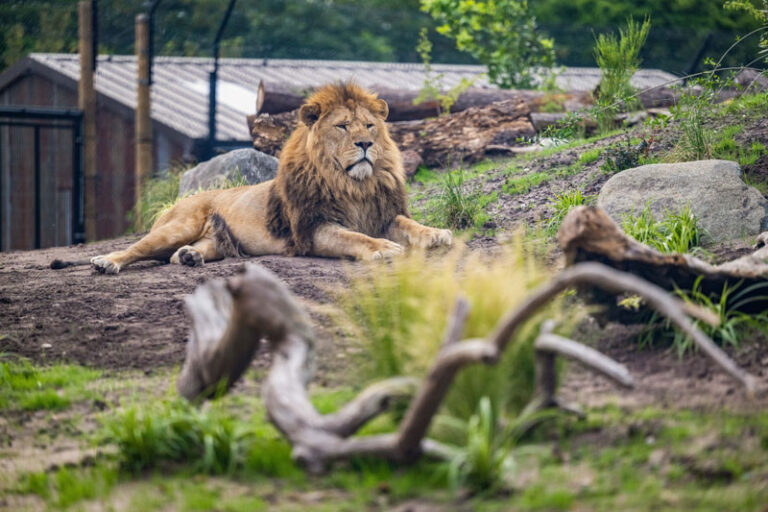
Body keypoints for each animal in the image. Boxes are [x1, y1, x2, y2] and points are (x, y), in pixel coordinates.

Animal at [55, 82, 451, 274]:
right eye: (342, 126)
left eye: (369, 125)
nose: (366, 143)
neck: (353, 184)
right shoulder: (313, 229)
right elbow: (355, 237)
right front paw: (384, 249)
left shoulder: (382, 214)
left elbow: (410, 225)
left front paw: (437, 235)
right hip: (176, 226)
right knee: (137, 249)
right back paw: (107, 262)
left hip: (211, 240)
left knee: (178, 255)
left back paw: (188, 258)